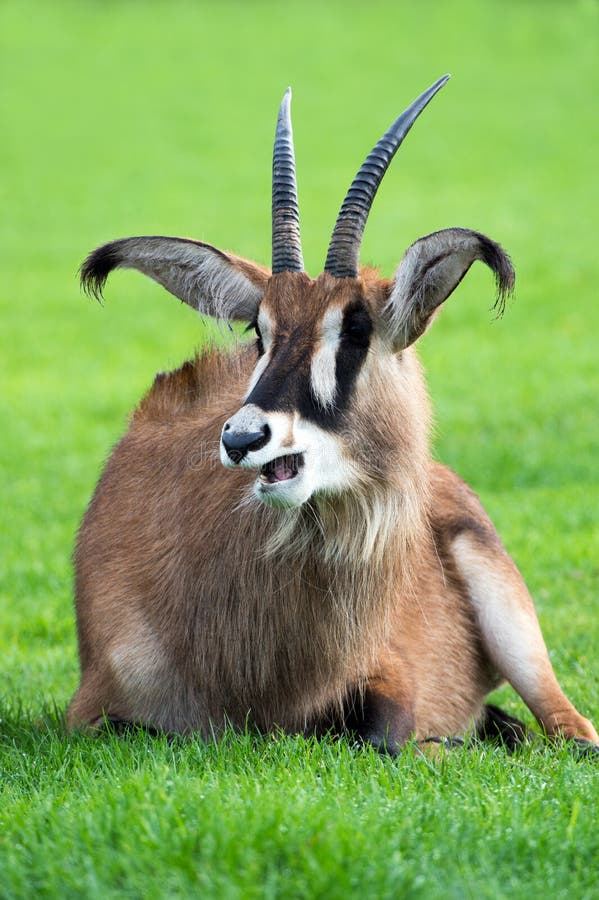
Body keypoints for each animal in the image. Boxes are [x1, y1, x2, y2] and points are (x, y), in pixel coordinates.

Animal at [68, 76, 598, 754]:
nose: (244, 438)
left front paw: (442, 742)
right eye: (258, 330)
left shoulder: (387, 669)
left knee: (569, 731)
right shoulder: (88, 711)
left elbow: (383, 733)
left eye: (357, 330)